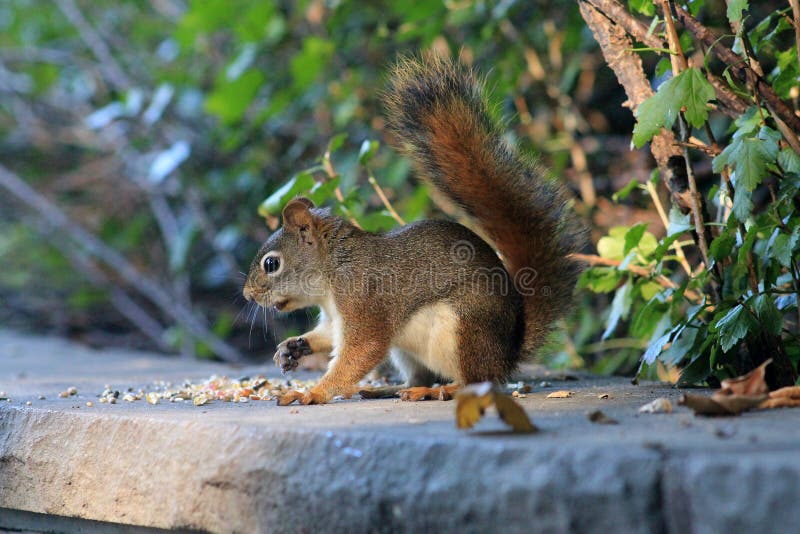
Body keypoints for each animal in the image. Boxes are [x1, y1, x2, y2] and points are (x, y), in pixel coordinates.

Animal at [243, 55, 586, 405]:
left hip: (464, 328)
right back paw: (392, 388)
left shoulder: (364, 301)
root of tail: (508, 352)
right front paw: (293, 347)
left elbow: (360, 352)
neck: (333, 269)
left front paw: (313, 392)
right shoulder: (335, 317)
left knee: (476, 381)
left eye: (271, 264)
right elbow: (327, 335)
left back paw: (438, 390)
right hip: (409, 349)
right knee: (425, 374)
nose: (248, 294)